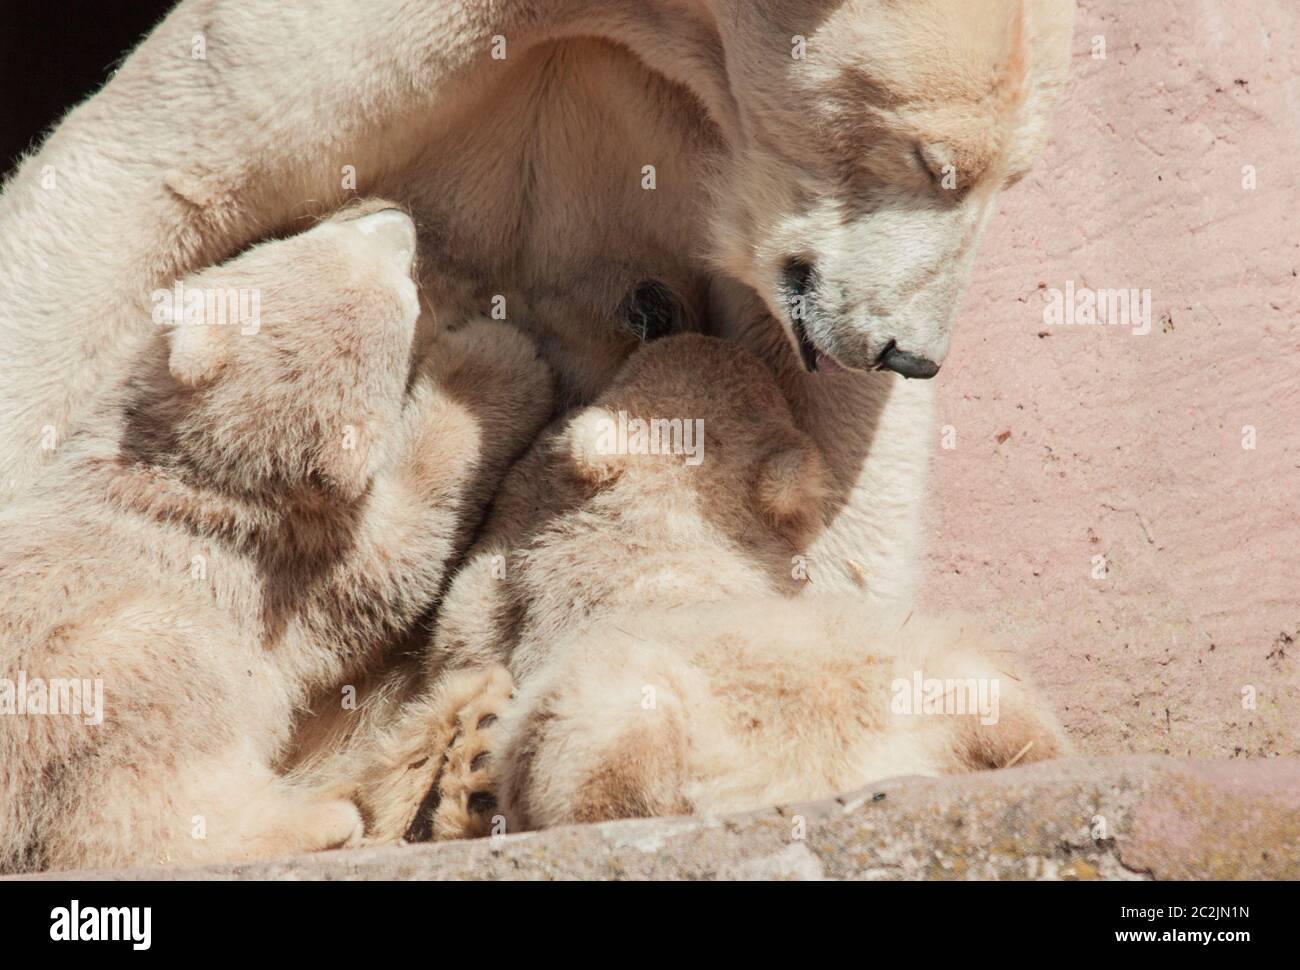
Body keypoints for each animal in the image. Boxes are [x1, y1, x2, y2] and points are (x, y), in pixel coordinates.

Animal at [0, 205, 552, 873]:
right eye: (404, 284)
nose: (398, 217)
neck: (206, 470)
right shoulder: (302, 569)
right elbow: (406, 540)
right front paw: (496, 360)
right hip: (86, 684)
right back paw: (329, 817)